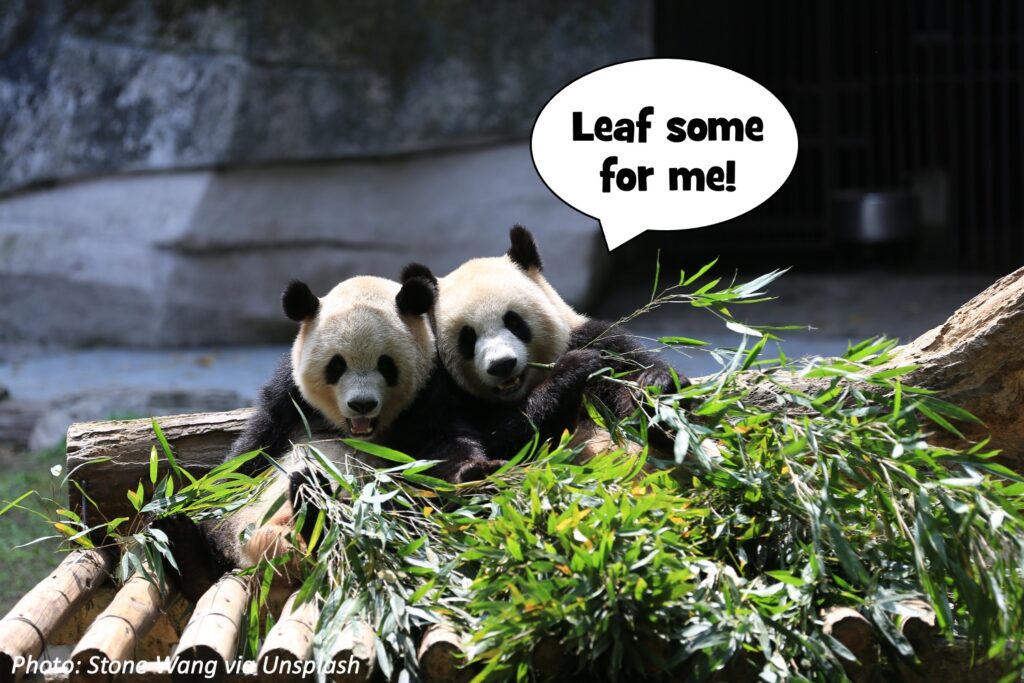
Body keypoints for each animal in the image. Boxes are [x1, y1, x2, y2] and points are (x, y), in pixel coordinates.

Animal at [403, 225, 686, 456]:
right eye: (468, 337)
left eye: (514, 322)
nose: (502, 365)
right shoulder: (436, 391)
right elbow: (502, 442)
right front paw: (574, 367)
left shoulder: (596, 340)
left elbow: (629, 375)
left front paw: (655, 389)